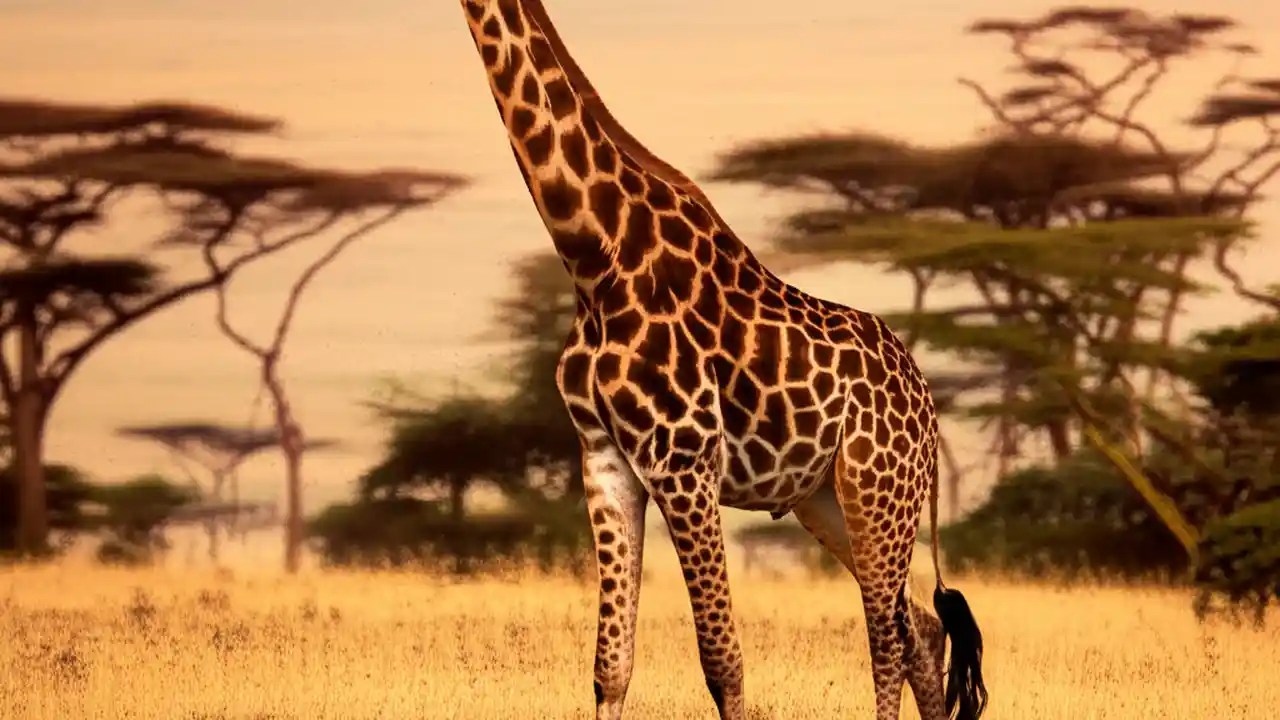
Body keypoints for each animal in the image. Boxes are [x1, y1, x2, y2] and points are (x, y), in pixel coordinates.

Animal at [455, 2, 988, 718]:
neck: (595, 254)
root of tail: (930, 410)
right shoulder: (604, 458)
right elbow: (610, 667)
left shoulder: (682, 461)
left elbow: (723, 662)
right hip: (829, 502)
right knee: (923, 631)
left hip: (879, 489)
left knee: (887, 640)